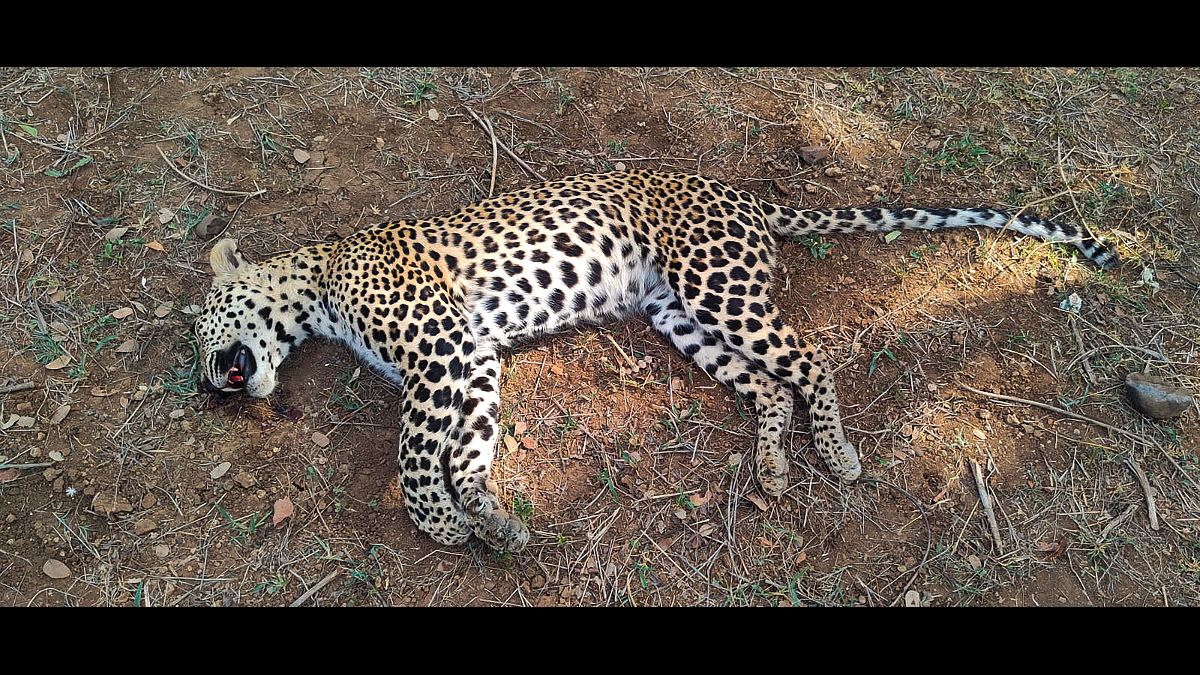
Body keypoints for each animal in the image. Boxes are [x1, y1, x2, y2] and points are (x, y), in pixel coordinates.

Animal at [193, 169, 1119, 553]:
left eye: (201, 332)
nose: (210, 384)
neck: (314, 281)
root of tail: (744, 194)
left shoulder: (444, 353)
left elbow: (418, 456)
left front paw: (444, 524)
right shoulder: (475, 361)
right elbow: (466, 452)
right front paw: (493, 521)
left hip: (718, 287)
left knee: (809, 357)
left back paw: (838, 452)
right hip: (682, 316)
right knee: (768, 386)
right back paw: (774, 467)